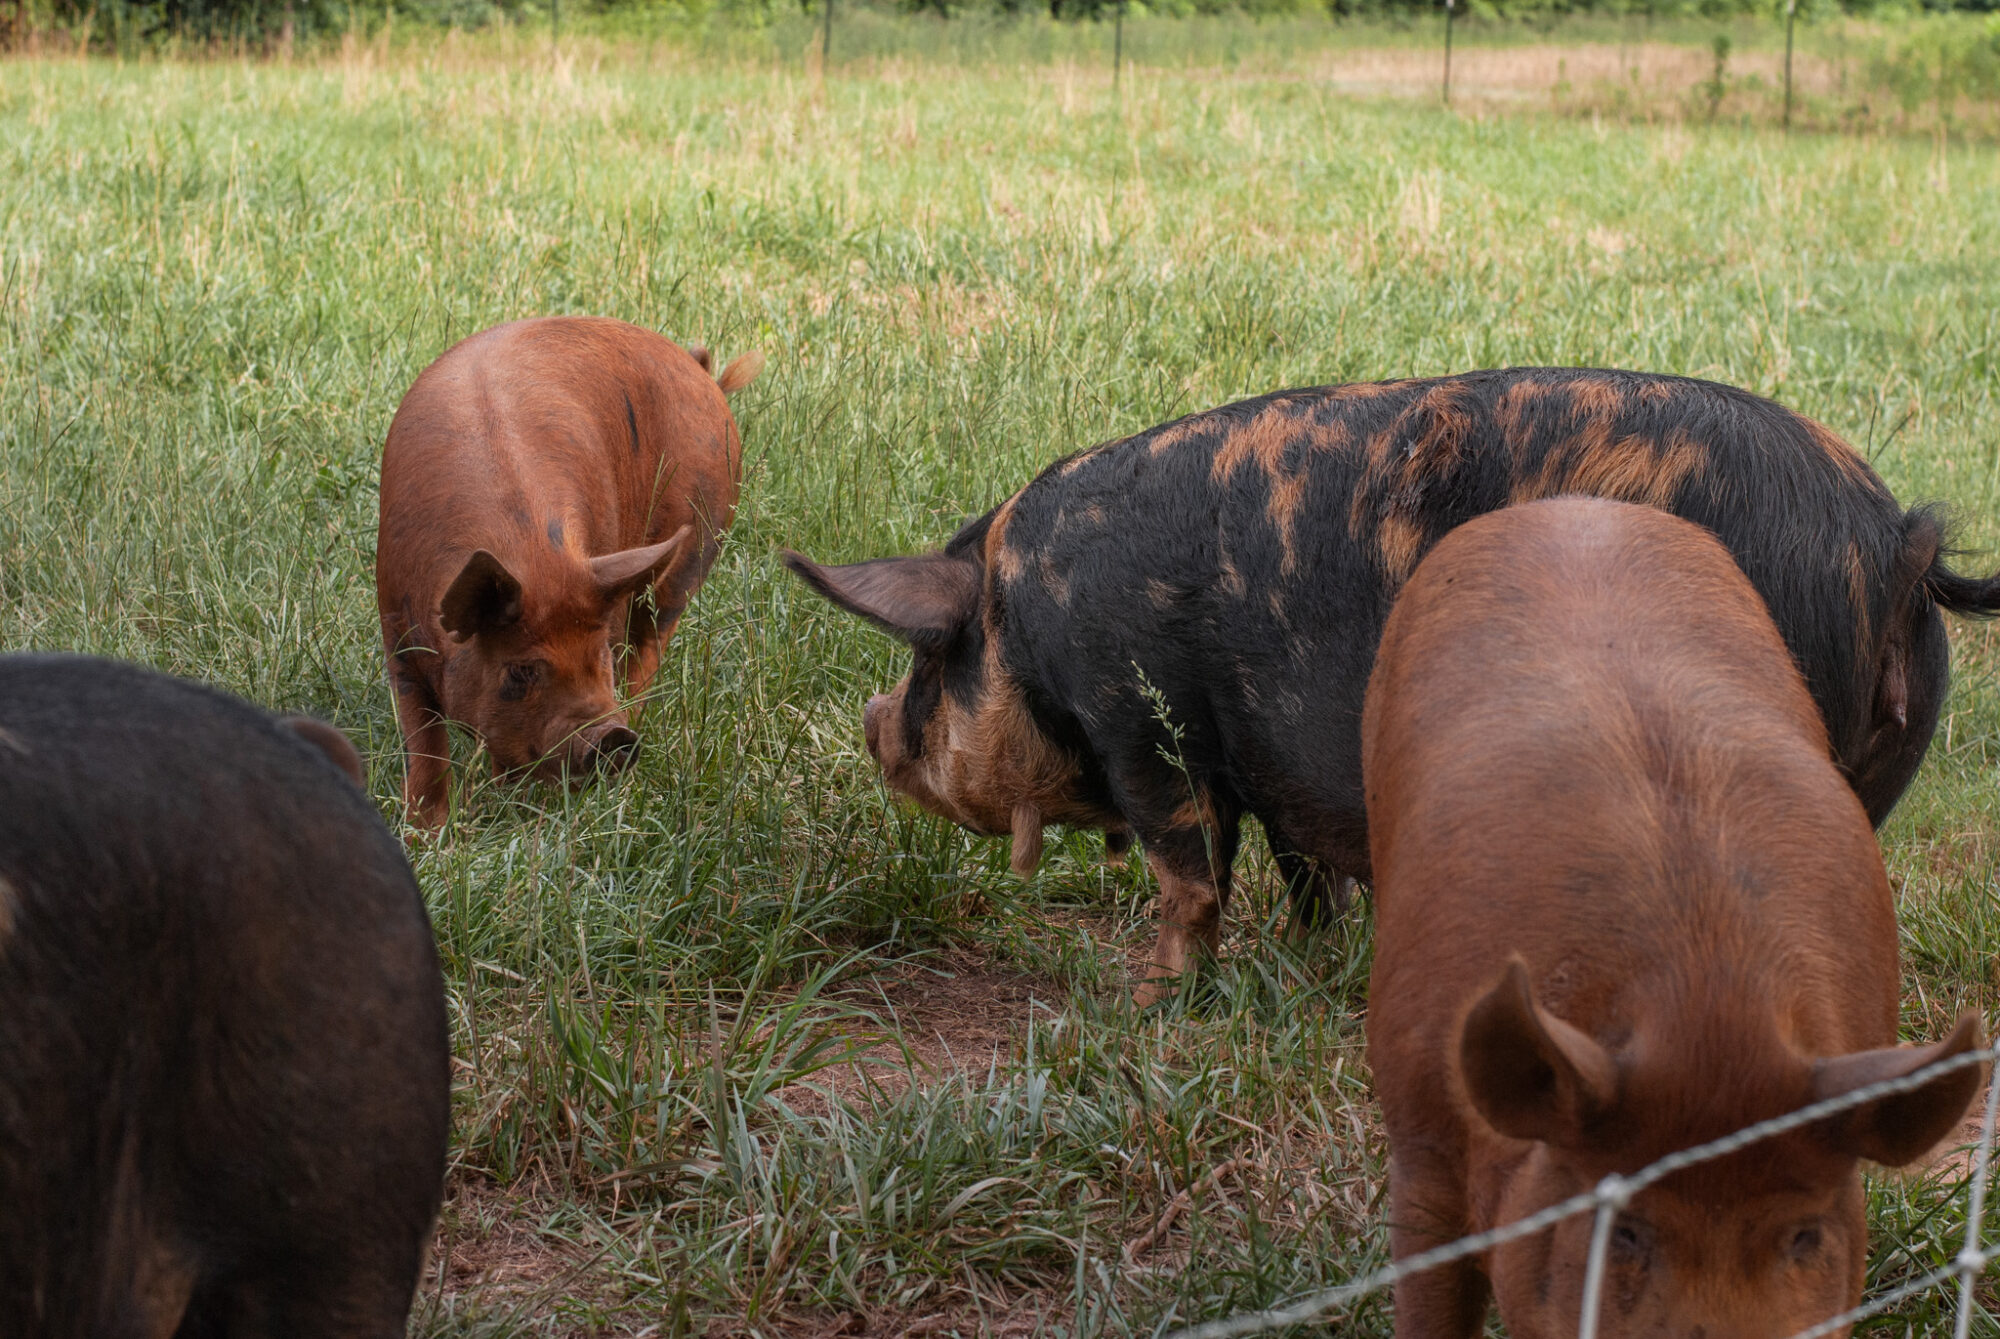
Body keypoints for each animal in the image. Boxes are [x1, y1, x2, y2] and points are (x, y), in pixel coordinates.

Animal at [377, 316, 763, 828]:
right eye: (520, 670)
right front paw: (425, 831)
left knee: (648, 645)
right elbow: (423, 739)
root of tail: (702, 374)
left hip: (693, 548)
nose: (611, 740)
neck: (535, 560)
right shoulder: (396, 629)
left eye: (594, 654)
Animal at [783, 369, 2000, 1002]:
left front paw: (1155, 996)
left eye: (930, 658)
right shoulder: (1276, 765)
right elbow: (1305, 874)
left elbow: (1190, 873)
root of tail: (1891, 543)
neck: (1022, 610)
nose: (874, 725)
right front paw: (1303, 962)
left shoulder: (1147, 723)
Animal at [1361, 498, 1984, 1338]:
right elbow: (1430, 1287)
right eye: (1624, 1230)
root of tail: (1574, 505)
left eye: (1804, 1235)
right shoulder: (1419, 1125)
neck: (1706, 1003)